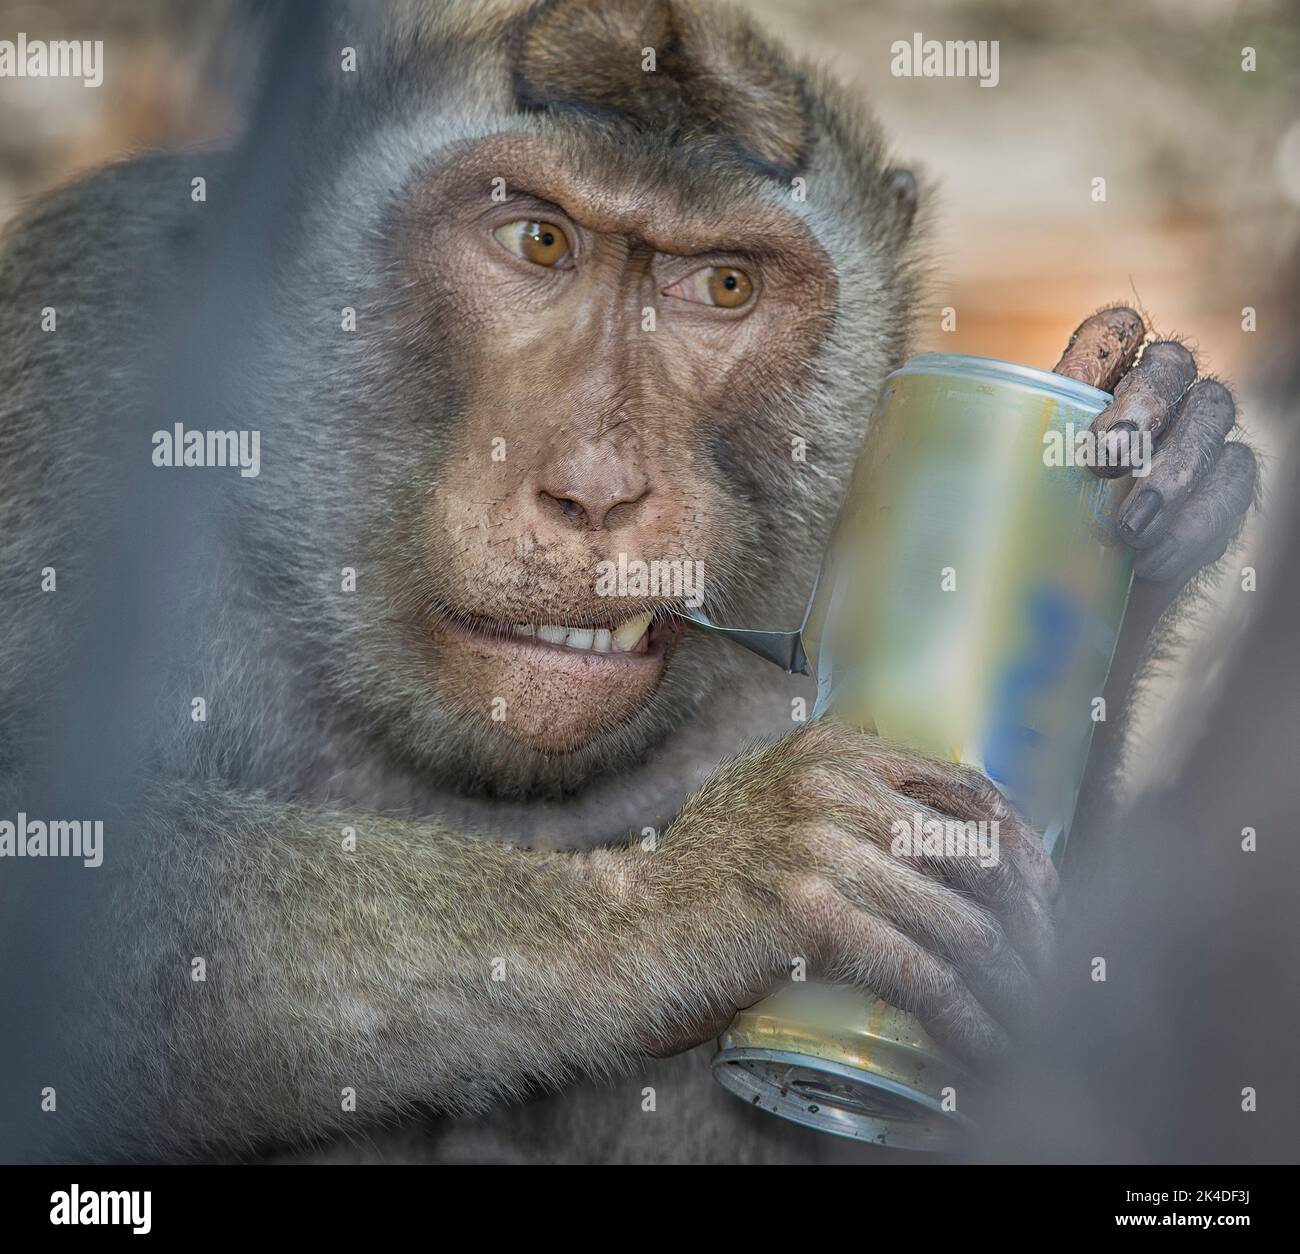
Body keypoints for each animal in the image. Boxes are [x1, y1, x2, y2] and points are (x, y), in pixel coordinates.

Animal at [0, 0, 1257, 1164]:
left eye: (725, 284)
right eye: (537, 242)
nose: (599, 491)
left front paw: (1156, 474)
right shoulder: (82, 351)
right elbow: (49, 852)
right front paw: (702, 890)